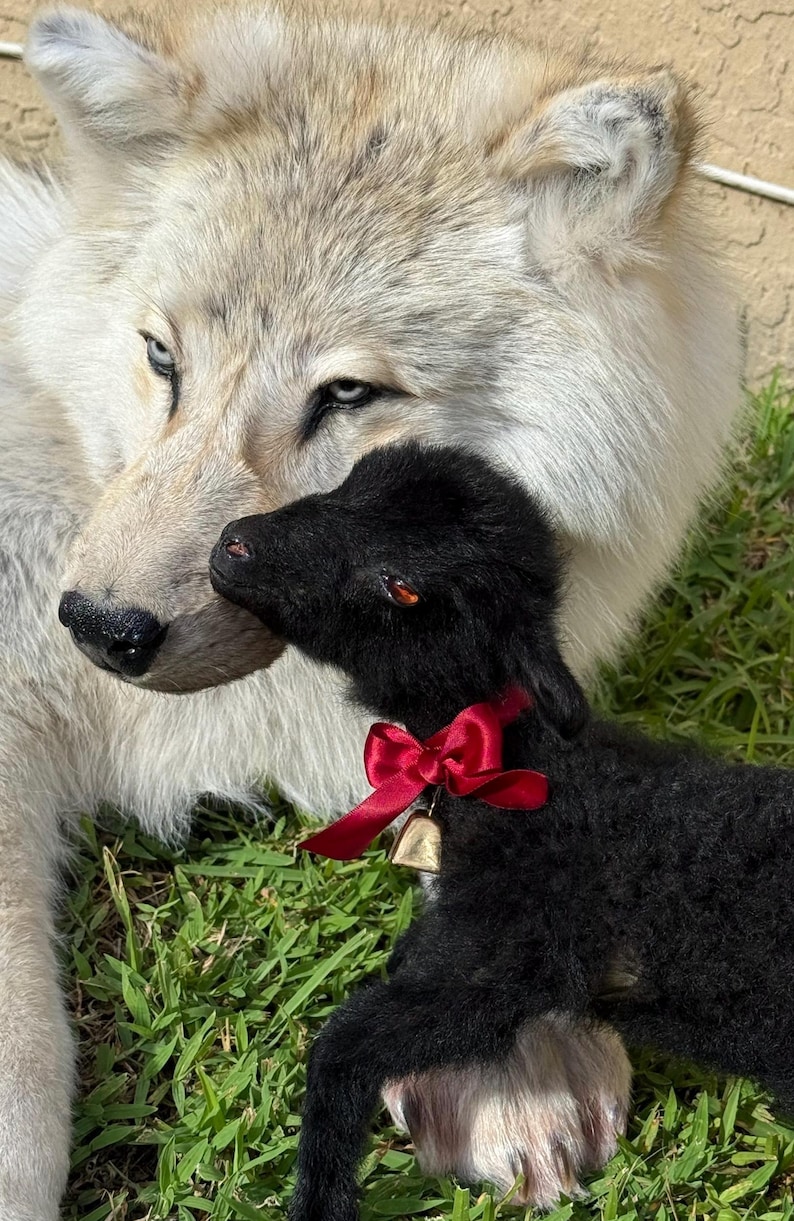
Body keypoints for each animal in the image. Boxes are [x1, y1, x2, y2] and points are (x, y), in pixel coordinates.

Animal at [209, 441, 794, 1221]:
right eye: (353, 478)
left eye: (403, 590)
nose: (231, 545)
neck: (515, 767)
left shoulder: (503, 968)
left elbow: (340, 1048)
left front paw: (319, 1198)